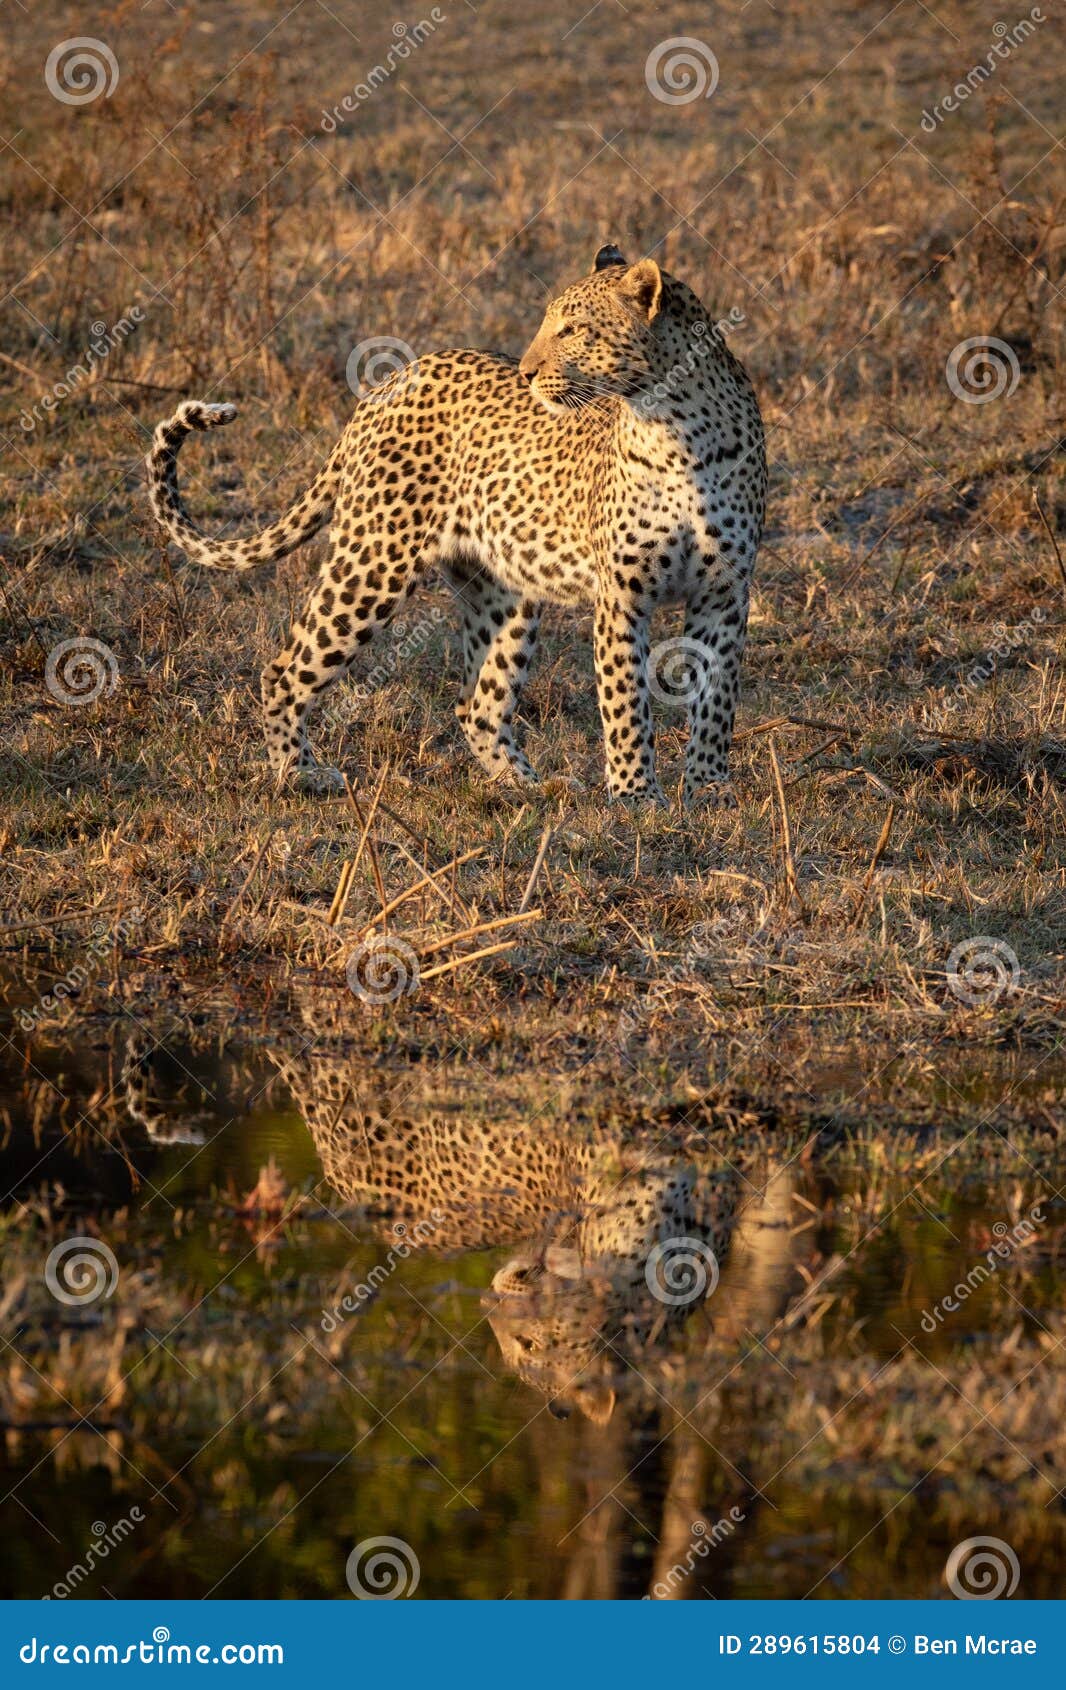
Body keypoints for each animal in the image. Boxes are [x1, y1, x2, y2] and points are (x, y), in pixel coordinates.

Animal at [147, 243, 766, 809]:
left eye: (572, 329)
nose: (528, 373)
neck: (675, 427)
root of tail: (387, 384)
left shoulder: (725, 591)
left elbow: (716, 698)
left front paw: (710, 790)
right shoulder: (623, 594)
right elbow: (626, 701)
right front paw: (637, 797)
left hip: (505, 595)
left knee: (478, 705)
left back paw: (529, 787)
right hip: (372, 563)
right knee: (285, 670)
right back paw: (300, 774)